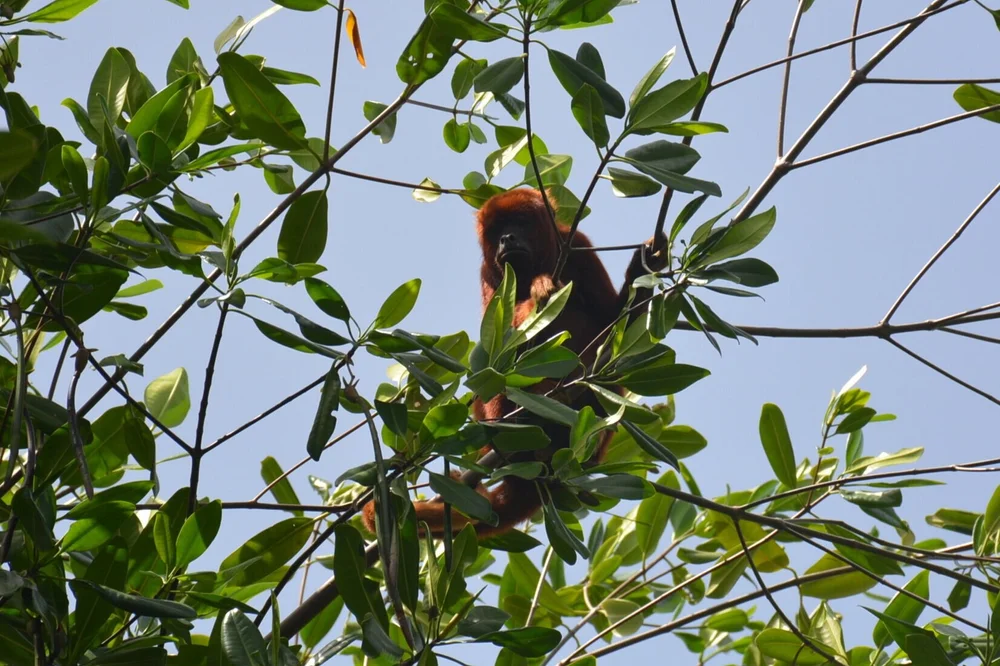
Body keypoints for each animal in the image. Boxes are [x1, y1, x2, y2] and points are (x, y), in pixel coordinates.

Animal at [363, 188, 666, 539]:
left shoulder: (580, 248)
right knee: (493, 377)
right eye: (497, 230)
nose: (507, 237)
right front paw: (536, 296)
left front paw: (645, 266)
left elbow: (612, 326)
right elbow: (492, 348)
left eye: (519, 222)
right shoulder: (488, 272)